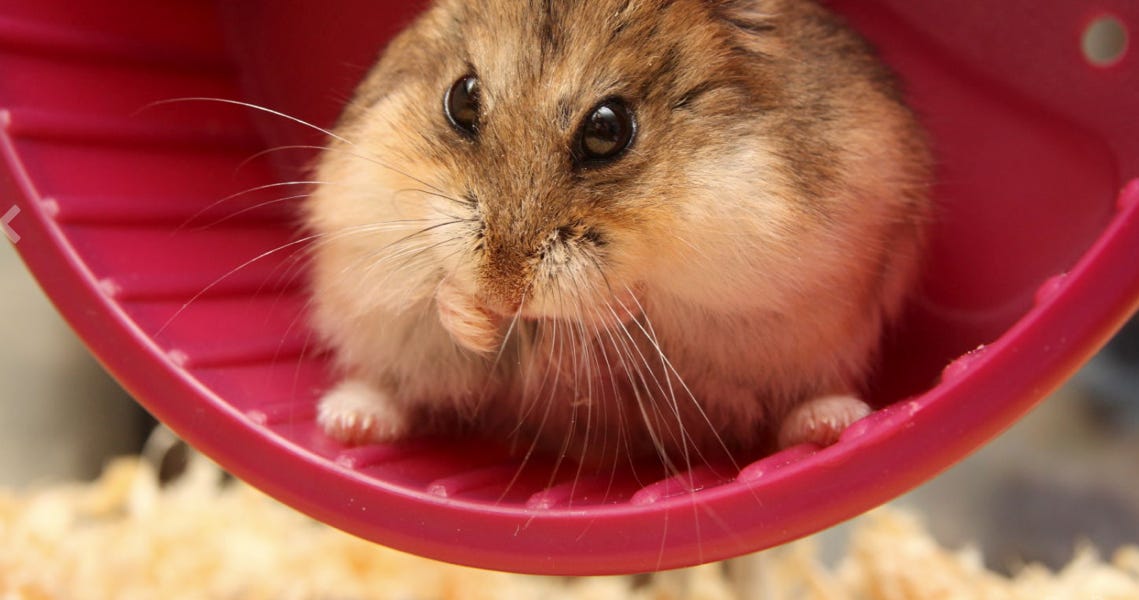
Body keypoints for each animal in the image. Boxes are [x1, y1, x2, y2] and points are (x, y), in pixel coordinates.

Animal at [304, 0, 931, 468]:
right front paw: (476, 320)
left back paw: (832, 423)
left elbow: (644, 299)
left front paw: (600, 305)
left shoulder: (752, 268)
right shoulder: (365, 225)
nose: (503, 297)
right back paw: (348, 420)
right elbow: (432, 291)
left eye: (608, 129)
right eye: (461, 97)